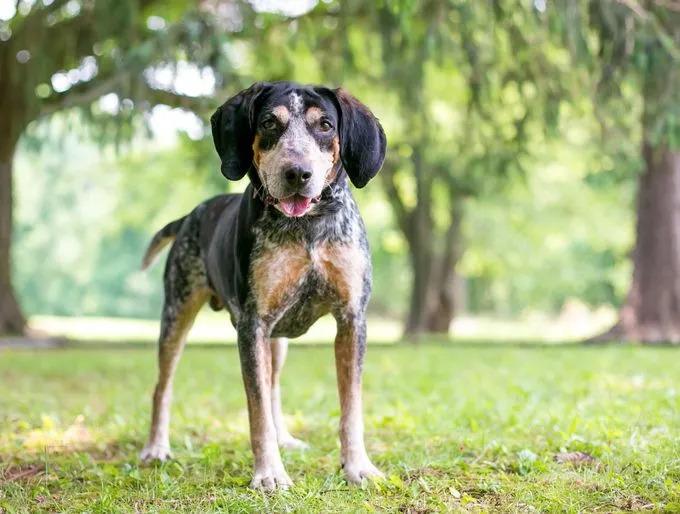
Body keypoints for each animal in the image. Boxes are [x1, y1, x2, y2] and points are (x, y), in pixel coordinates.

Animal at [138, 81, 388, 488]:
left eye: (325, 126)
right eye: (270, 123)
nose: (297, 172)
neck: (307, 227)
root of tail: (190, 215)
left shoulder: (352, 320)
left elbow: (351, 408)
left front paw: (358, 466)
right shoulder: (252, 324)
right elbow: (256, 413)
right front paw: (269, 472)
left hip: (277, 340)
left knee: (273, 389)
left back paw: (286, 438)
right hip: (177, 316)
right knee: (163, 387)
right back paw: (156, 447)